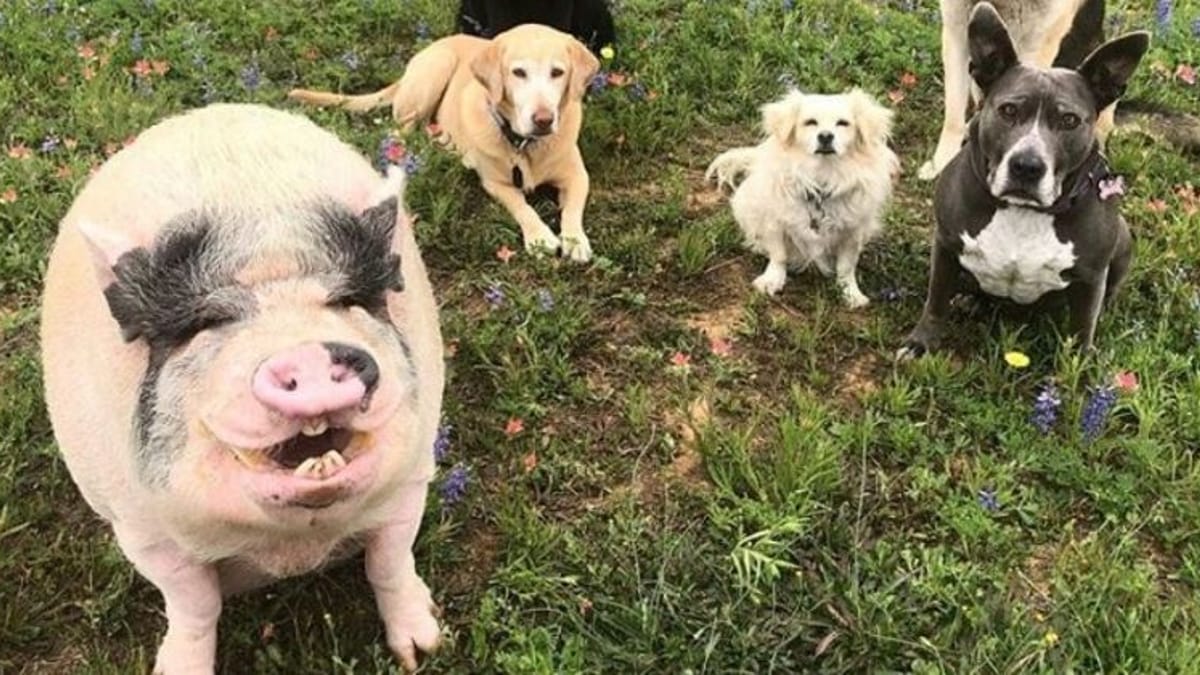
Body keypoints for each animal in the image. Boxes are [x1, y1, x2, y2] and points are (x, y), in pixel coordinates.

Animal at [39, 103, 444, 673]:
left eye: (346, 300)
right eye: (207, 322)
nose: (308, 352)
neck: (288, 545)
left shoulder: (414, 474)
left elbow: (390, 558)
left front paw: (424, 650)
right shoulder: (140, 529)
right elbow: (193, 602)